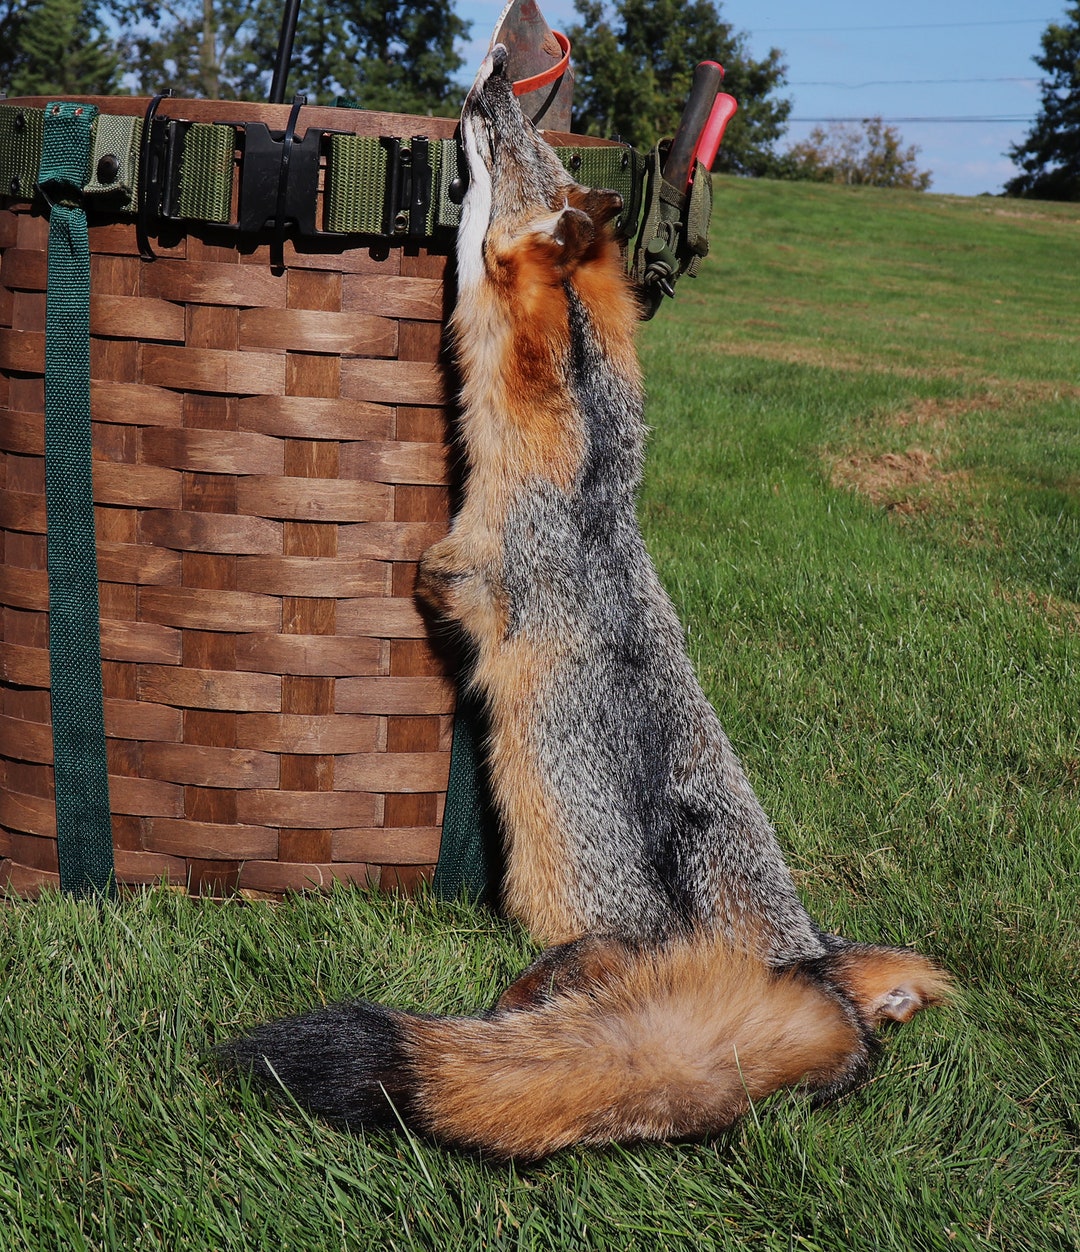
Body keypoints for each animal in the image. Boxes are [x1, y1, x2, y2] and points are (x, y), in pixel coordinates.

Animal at [221, 44, 951, 1159]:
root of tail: (816, 986)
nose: (491, 75)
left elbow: (426, 576)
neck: (591, 475)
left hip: (587, 959)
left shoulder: (458, 571)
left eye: (512, 156)